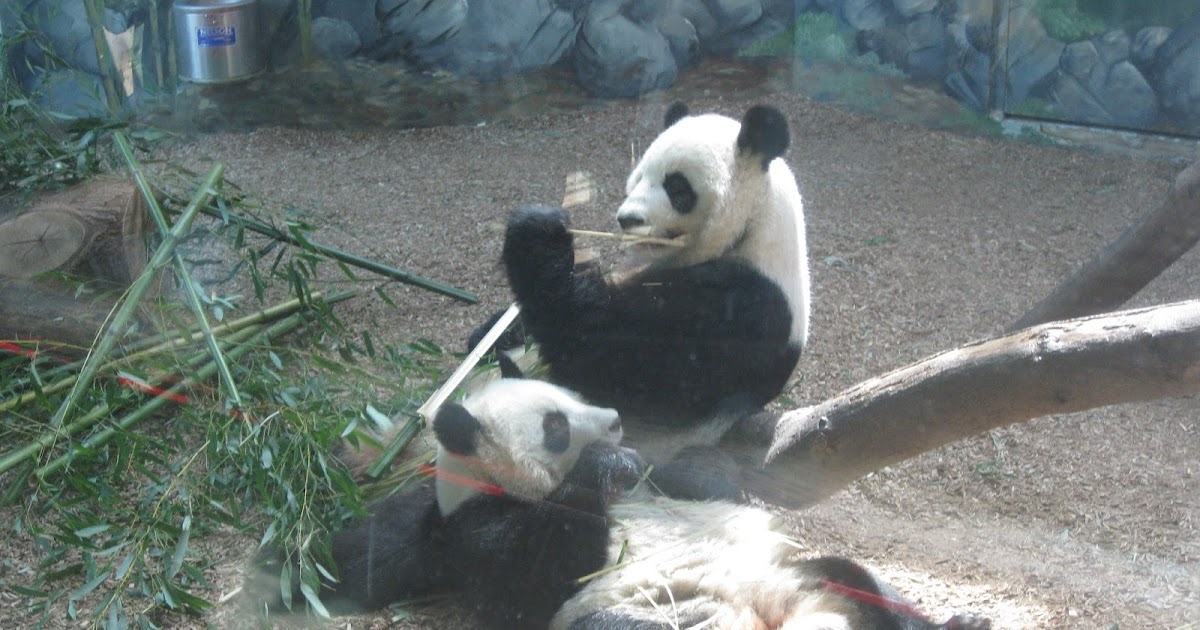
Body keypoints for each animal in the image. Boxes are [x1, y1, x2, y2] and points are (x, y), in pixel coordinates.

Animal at [306, 377, 990, 630]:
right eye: (555, 424)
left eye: (570, 394)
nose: (613, 421)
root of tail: (780, 616)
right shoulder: (480, 528)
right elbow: (529, 581)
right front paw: (602, 471)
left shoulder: (670, 481)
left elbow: (703, 477)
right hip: (652, 617)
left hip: (800, 576)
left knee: (859, 582)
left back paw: (958, 622)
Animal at [478, 102, 811, 499]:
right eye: (638, 178)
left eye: (677, 187)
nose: (628, 219)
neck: (755, 226)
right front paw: (498, 331)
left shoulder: (747, 308)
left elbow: (611, 358)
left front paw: (538, 232)